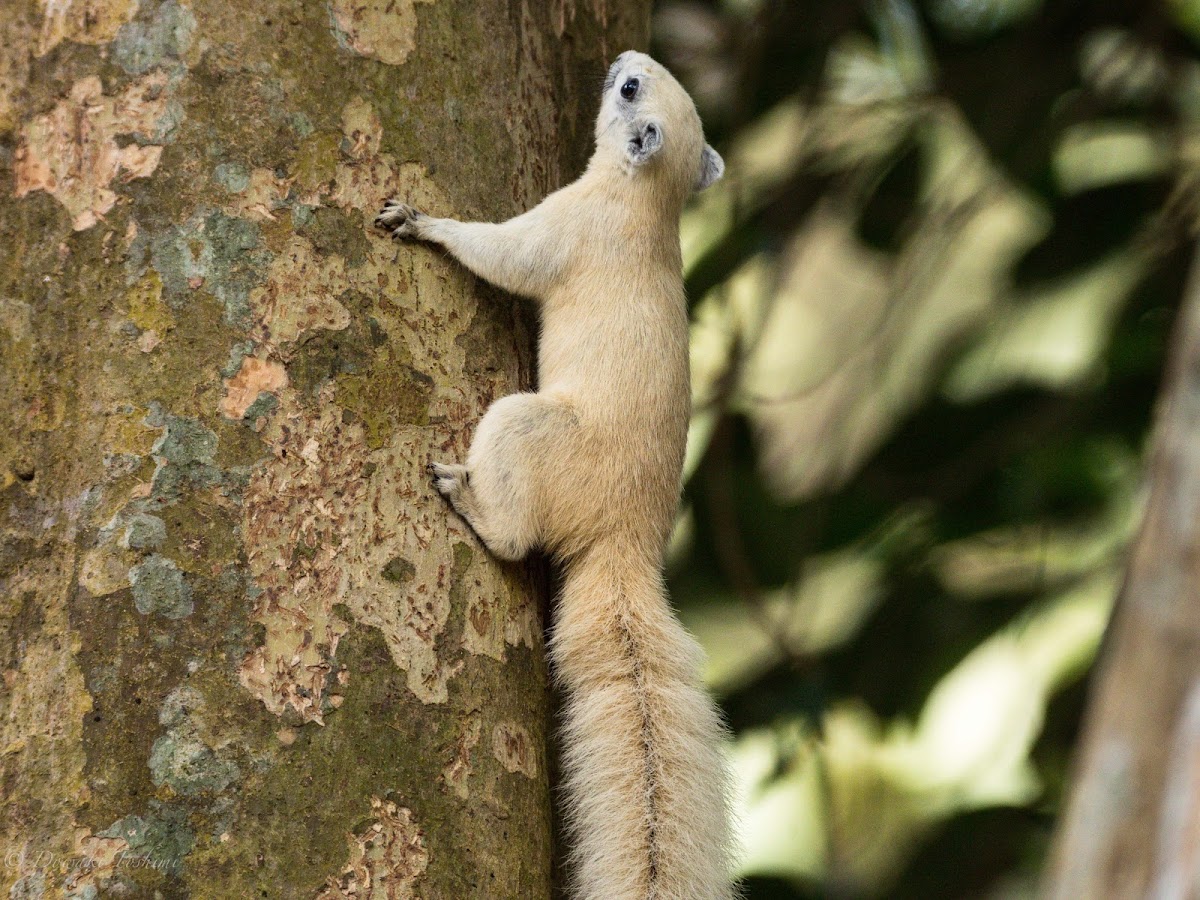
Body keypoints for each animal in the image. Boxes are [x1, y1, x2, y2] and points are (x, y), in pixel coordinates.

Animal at [375, 51, 733, 900]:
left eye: (632, 91)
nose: (624, 61)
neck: (645, 201)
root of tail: (624, 536)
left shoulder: (566, 225)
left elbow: (503, 253)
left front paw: (423, 224)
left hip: (523, 426)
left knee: (511, 538)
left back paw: (467, 500)